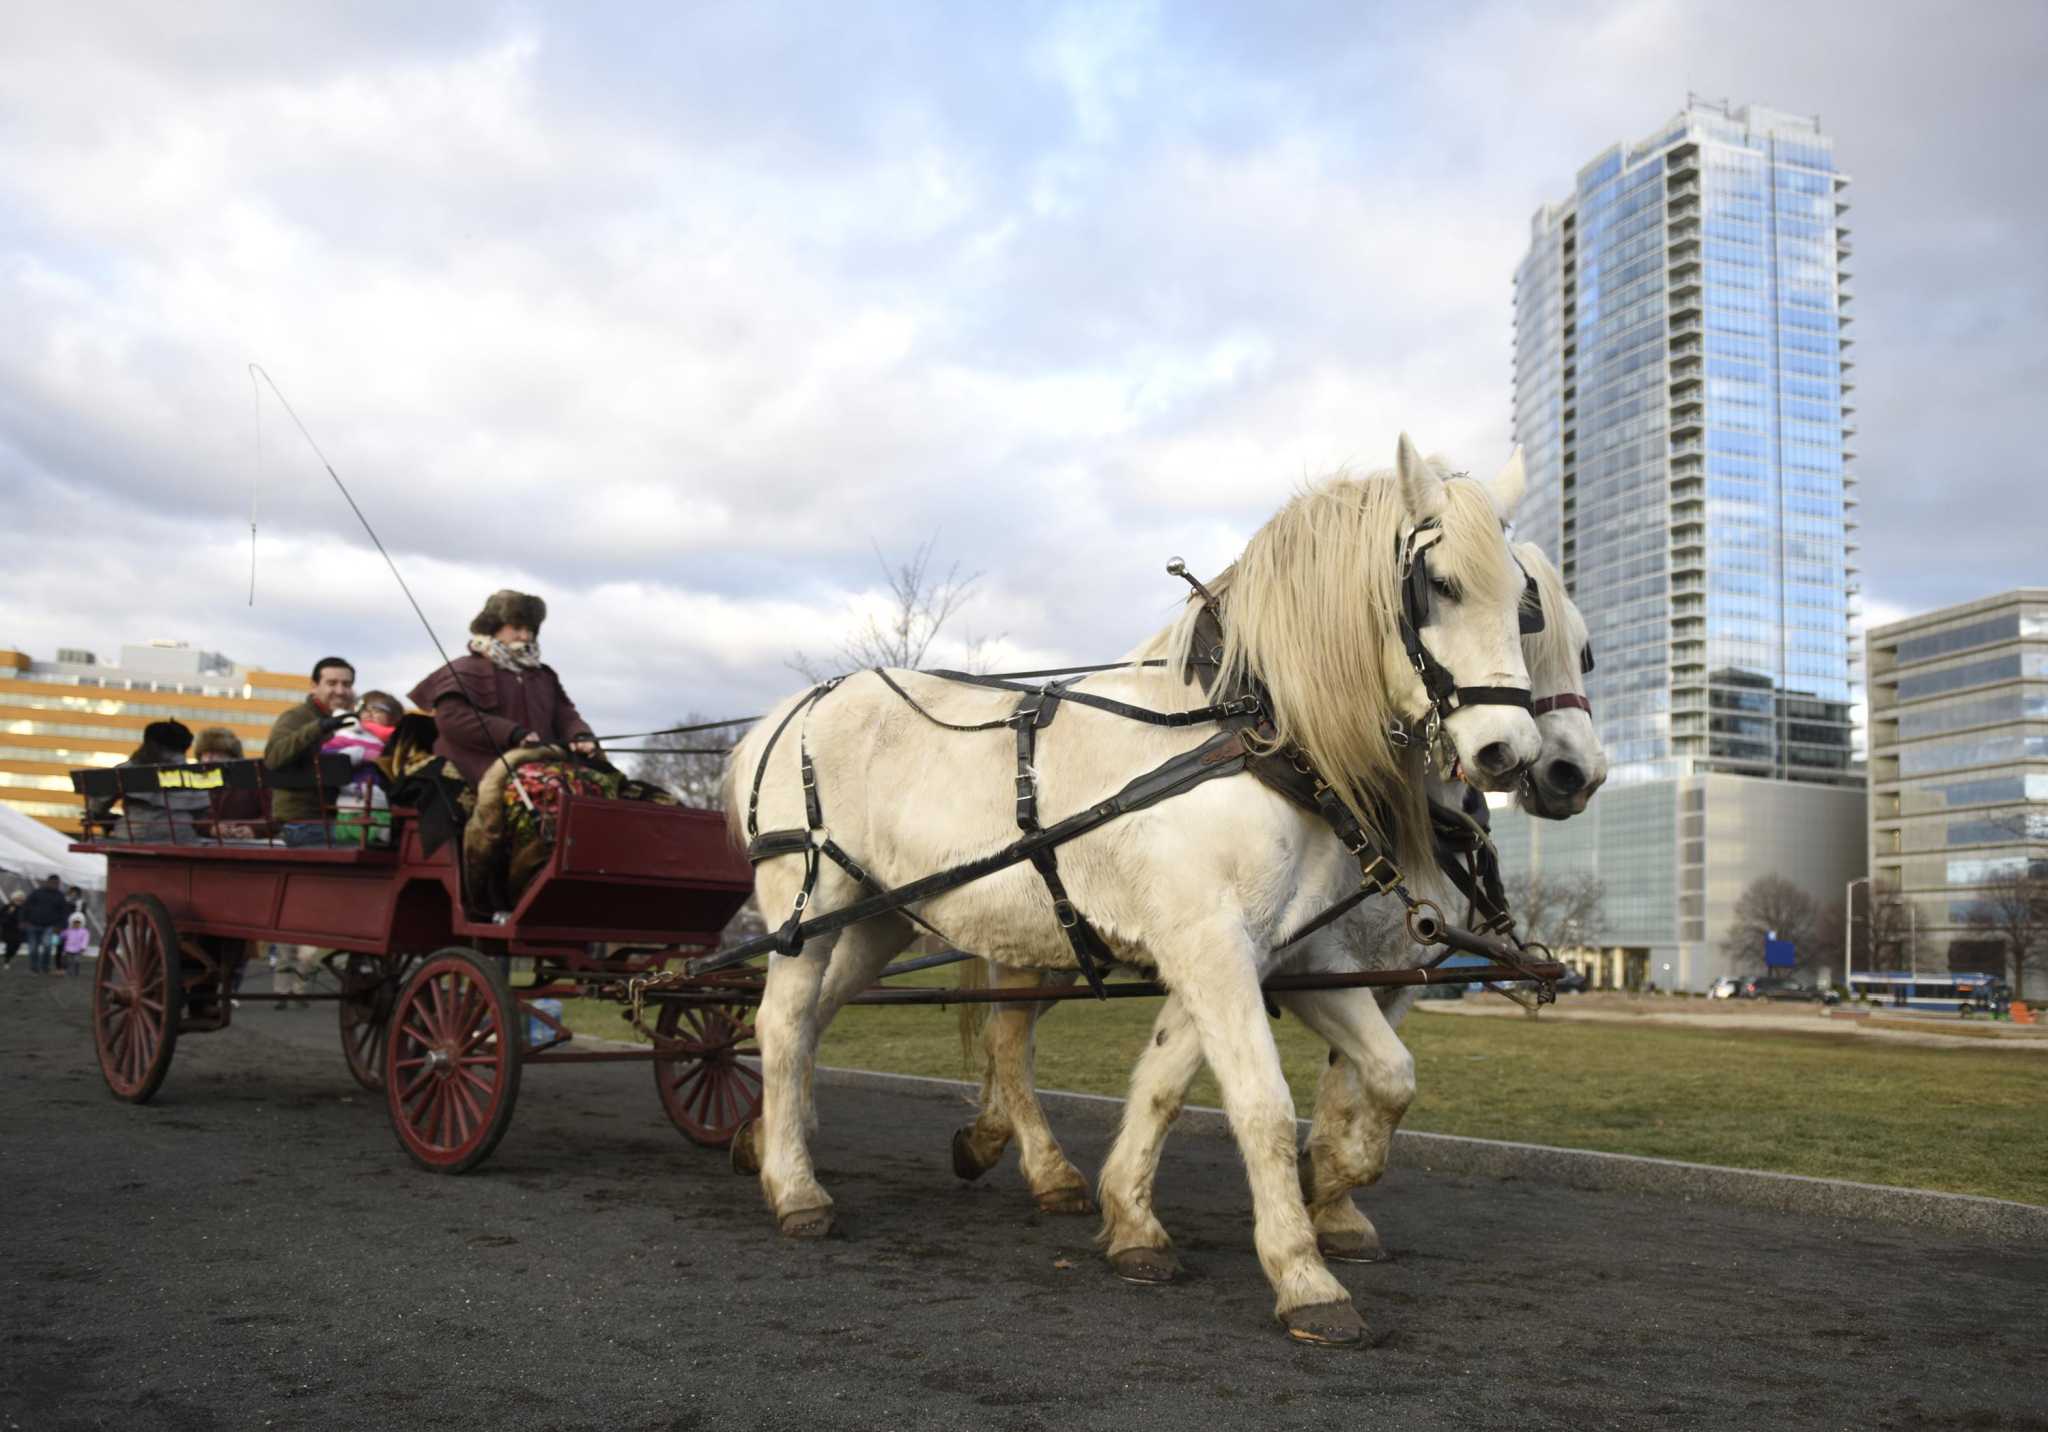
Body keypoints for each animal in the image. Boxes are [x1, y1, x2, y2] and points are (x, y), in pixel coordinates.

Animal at [944, 540, 1606, 1280]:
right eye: (1529, 630)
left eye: (1581, 650)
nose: (1574, 774)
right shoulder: (1308, 957)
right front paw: (1322, 1190)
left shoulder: (1391, 974)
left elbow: (1366, 1079)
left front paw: (1335, 1199)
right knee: (1008, 1039)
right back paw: (1039, 1163)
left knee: (1011, 1036)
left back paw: (992, 1138)